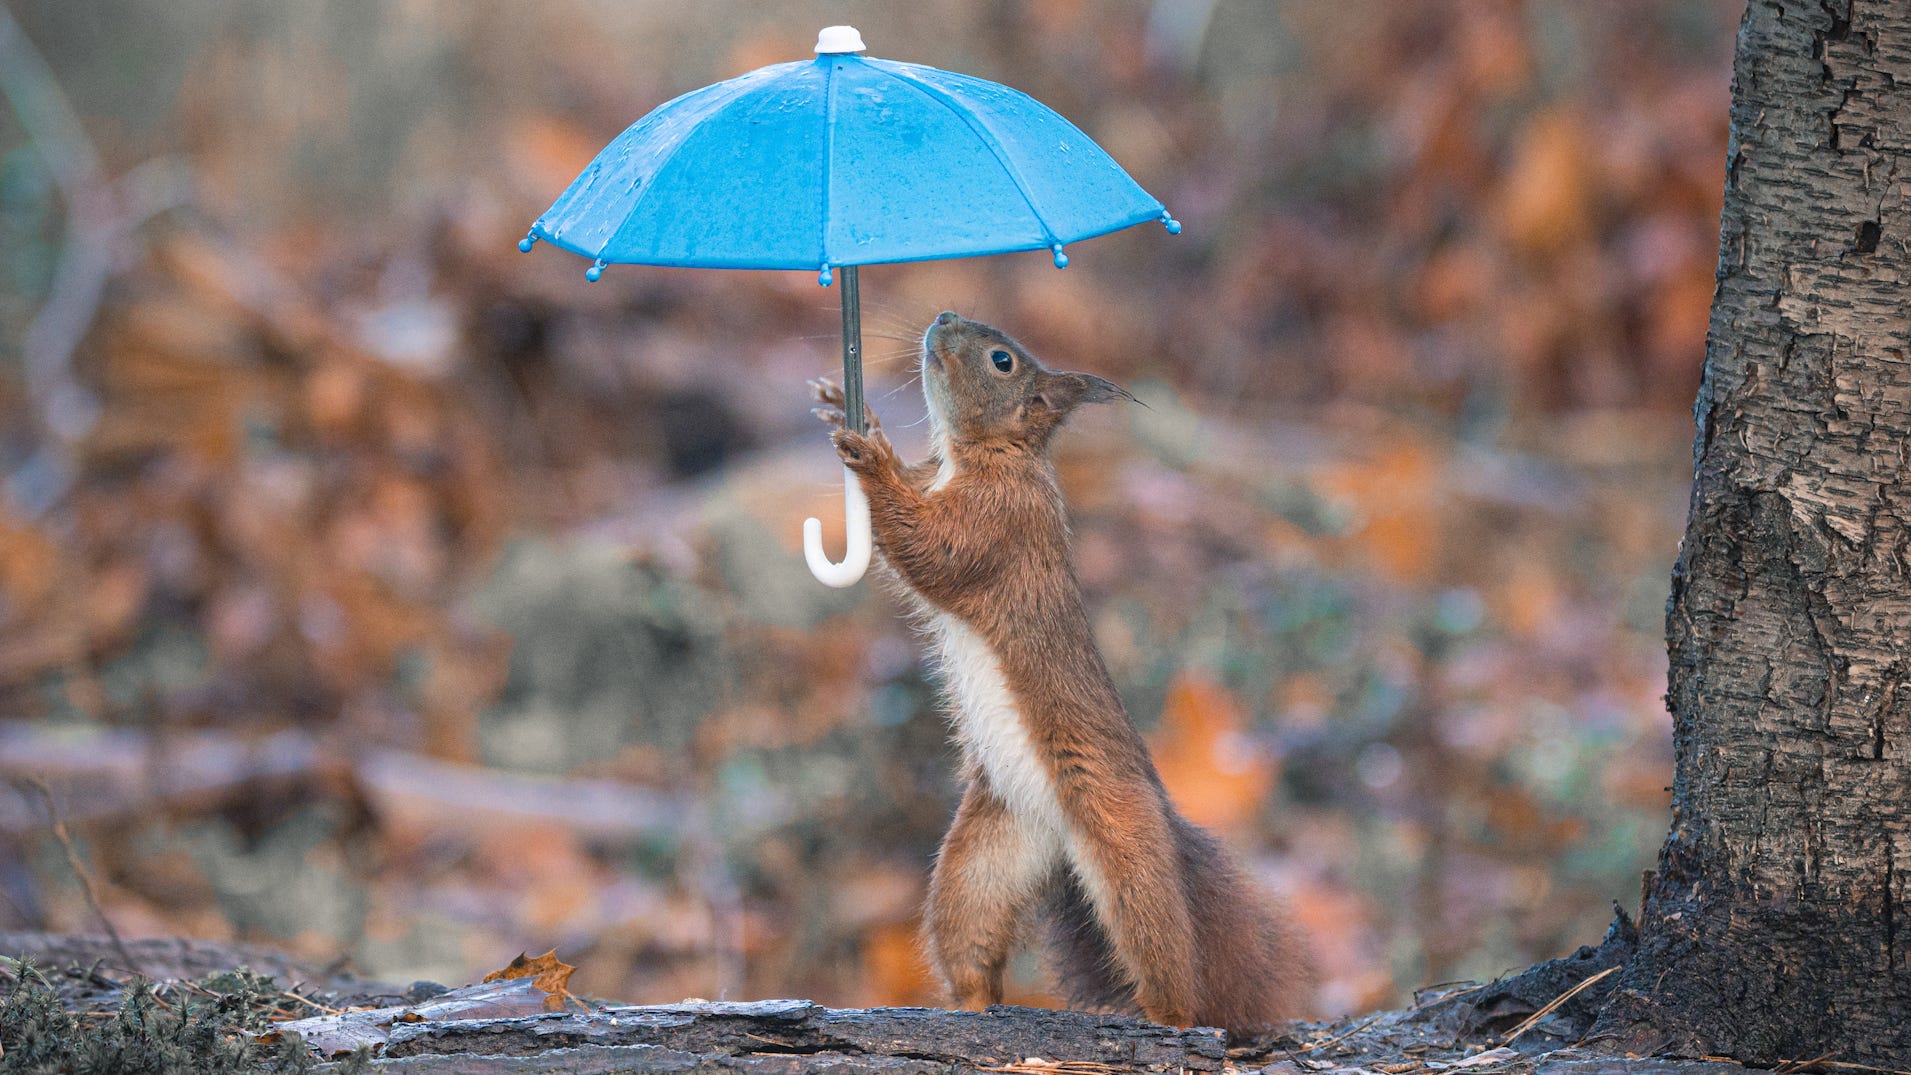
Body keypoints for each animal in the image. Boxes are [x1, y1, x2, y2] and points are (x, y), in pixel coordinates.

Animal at [811, 311, 1311, 1036]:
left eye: (1002, 360)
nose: (942, 318)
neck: (985, 454)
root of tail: (1059, 839)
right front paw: (846, 411)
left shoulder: (999, 523)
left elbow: (930, 549)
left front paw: (870, 459)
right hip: (984, 859)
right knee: (969, 934)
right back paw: (970, 1003)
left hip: (1126, 849)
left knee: (1164, 953)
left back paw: (1168, 1015)